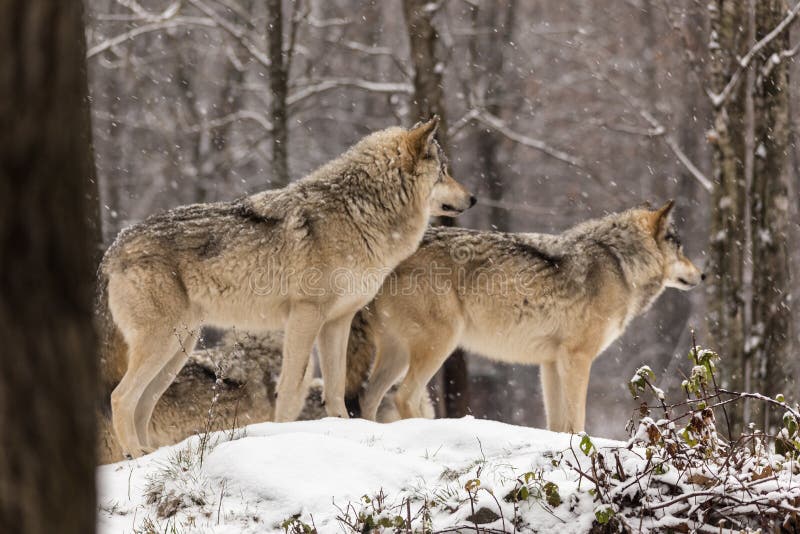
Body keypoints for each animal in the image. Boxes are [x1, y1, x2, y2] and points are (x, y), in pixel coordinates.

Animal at [99, 118, 473, 457]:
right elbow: (291, 388)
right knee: (120, 396)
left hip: (179, 349)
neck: (358, 212)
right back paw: (133, 452)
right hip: (162, 344)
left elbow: (335, 387)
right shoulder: (305, 315)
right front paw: (284, 437)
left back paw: (147, 453)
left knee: (144, 401)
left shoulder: (338, 321)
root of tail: (114, 246)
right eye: (443, 171)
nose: (473, 198)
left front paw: (340, 427)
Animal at [357, 201, 703, 432]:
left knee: (368, 397)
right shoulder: (577, 358)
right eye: (680, 247)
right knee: (404, 397)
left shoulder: (550, 363)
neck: (620, 264)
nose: (703, 275)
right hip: (440, 344)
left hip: (399, 354)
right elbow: (577, 420)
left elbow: (558, 424)